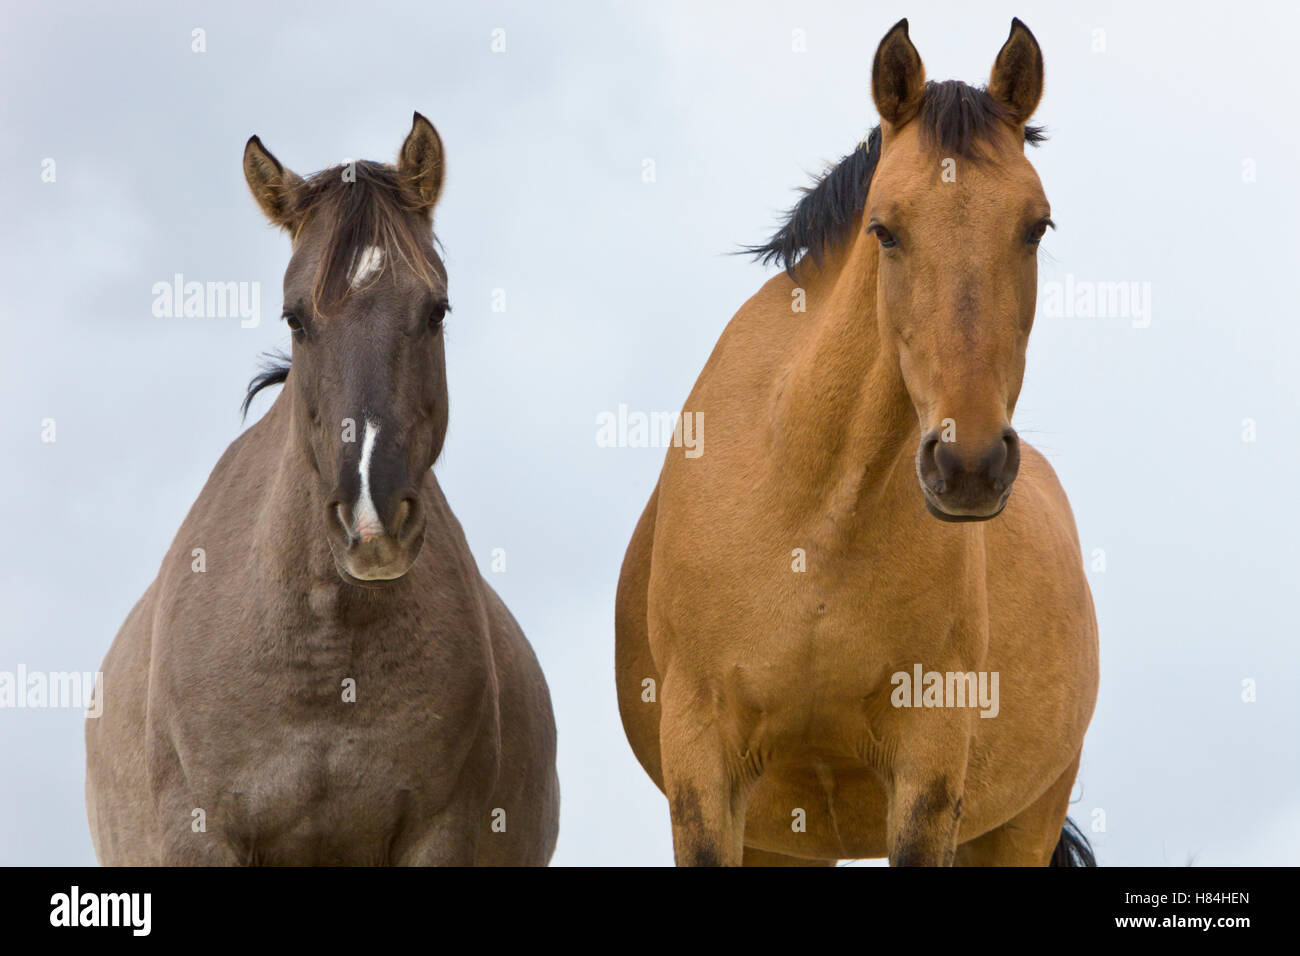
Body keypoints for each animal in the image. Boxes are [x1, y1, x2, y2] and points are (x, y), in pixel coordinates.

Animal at [615, 19, 1098, 866]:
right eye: (885, 229)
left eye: (1036, 225)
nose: (969, 464)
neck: (815, 520)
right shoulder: (703, 765)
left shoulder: (929, 767)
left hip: (1018, 826)